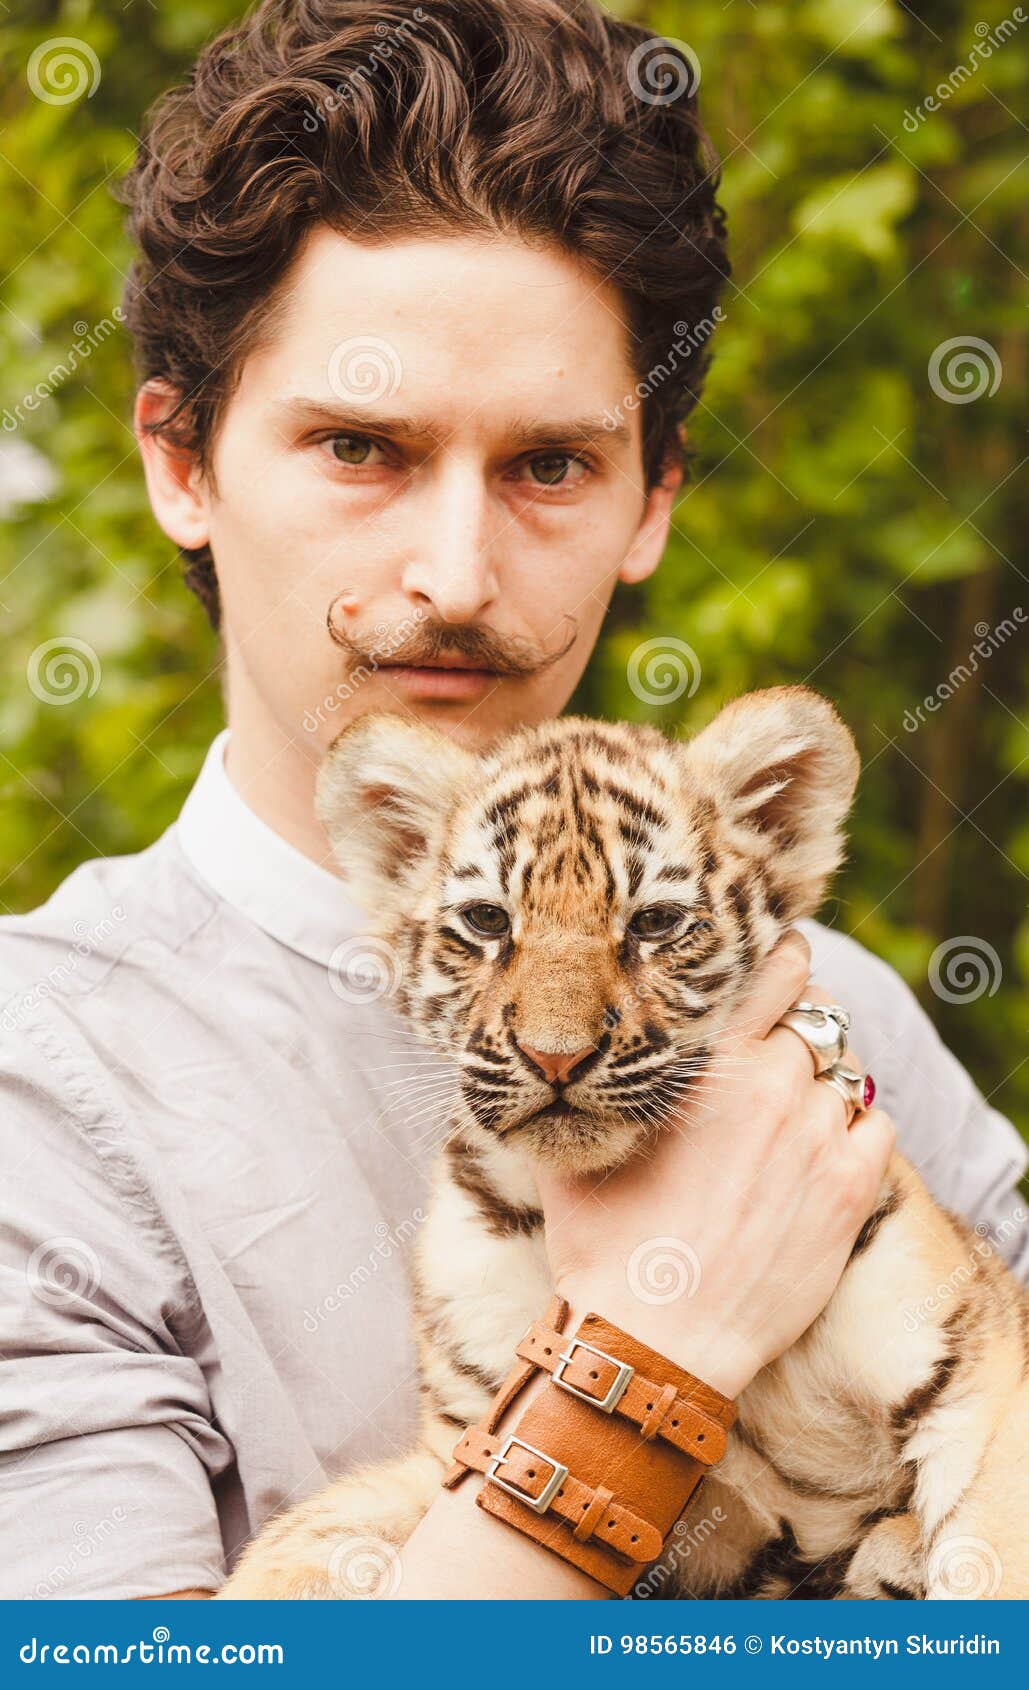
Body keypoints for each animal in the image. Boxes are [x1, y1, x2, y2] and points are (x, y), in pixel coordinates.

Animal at [220, 685, 1029, 1600]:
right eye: (487, 920)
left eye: (655, 923)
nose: (555, 1054)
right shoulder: (465, 1445)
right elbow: (310, 1533)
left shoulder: (979, 1379)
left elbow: (994, 1545)